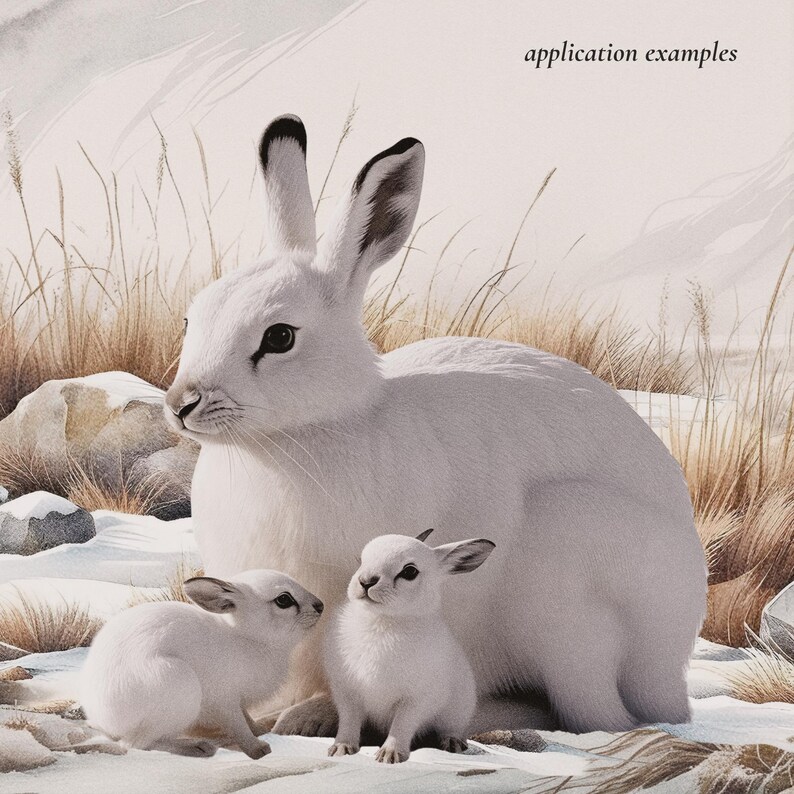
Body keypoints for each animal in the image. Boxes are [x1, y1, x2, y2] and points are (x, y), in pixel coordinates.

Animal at [80, 569, 324, 757]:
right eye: (284, 600)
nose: (320, 605)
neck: (247, 635)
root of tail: (105, 719)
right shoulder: (225, 701)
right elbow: (238, 725)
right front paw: (258, 749)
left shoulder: (238, 701)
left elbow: (247, 719)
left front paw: (260, 730)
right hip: (178, 685)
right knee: (137, 744)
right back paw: (198, 748)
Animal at [164, 114, 707, 735]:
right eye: (192, 319)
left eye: (279, 337)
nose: (180, 403)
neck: (291, 439)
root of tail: (673, 665)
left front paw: (307, 717)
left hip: (570, 594)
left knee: (597, 714)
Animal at [325, 529, 493, 763]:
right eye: (361, 560)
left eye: (410, 571)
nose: (365, 582)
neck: (384, 620)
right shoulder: (347, 693)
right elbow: (349, 721)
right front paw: (341, 748)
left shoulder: (416, 700)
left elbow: (401, 725)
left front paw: (390, 754)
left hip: (457, 711)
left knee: (451, 728)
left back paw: (453, 743)